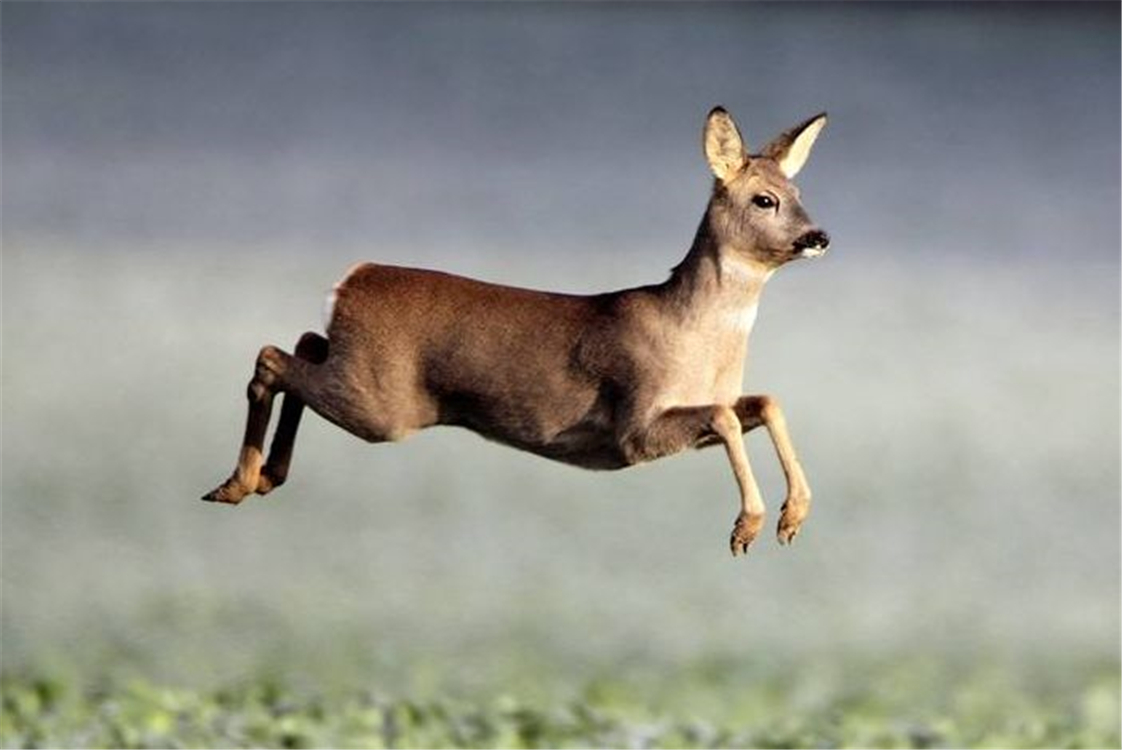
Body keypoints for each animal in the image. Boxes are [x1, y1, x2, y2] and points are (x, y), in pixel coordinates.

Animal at [203, 106, 831, 557]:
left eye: (800, 194)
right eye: (765, 199)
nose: (818, 236)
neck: (697, 335)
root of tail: (351, 279)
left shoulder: (696, 408)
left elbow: (763, 402)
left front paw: (792, 517)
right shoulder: (633, 425)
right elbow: (726, 415)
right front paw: (748, 526)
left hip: (359, 374)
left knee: (301, 345)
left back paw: (262, 477)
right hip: (382, 403)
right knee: (270, 357)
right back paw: (236, 482)